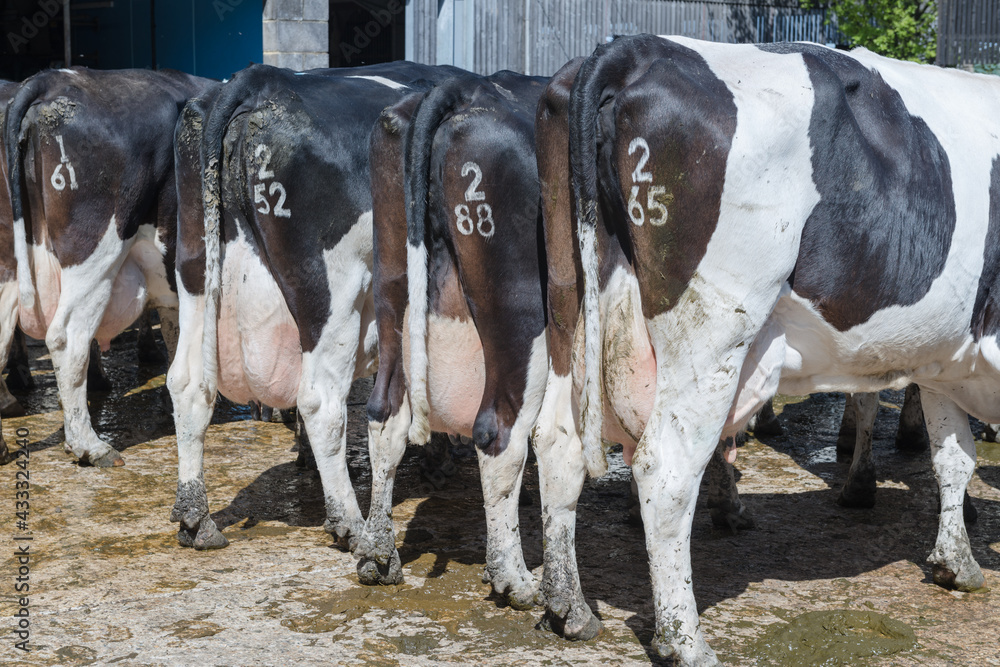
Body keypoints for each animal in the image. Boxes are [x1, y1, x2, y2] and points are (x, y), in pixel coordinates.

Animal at [167, 62, 462, 550]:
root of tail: (261, 80)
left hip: (196, 275)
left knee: (187, 383)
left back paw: (196, 517)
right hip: (333, 296)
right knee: (321, 401)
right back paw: (351, 523)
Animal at [537, 35, 999, 664]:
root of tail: (635, 49)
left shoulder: (945, 353)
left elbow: (953, 455)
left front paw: (956, 562)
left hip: (571, 312)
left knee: (555, 443)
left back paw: (570, 608)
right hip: (713, 332)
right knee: (664, 470)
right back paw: (685, 640)